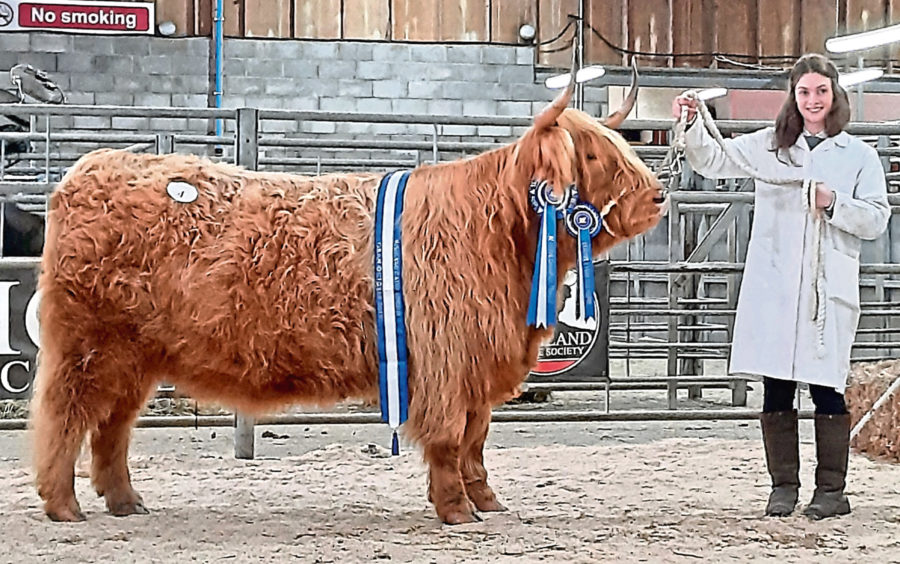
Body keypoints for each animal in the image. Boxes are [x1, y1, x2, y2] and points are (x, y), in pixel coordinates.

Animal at [31, 72, 665, 524]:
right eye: (592, 155)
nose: (658, 194)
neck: (498, 232)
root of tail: (91, 168)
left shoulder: (474, 363)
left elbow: (476, 438)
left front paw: (486, 502)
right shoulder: (444, 361)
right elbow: (449, 438)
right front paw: (456, 510)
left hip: (134, 356)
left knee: (112, 426)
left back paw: (124, 501)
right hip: (88, 346)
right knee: (66, 416)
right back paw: (65, 505)